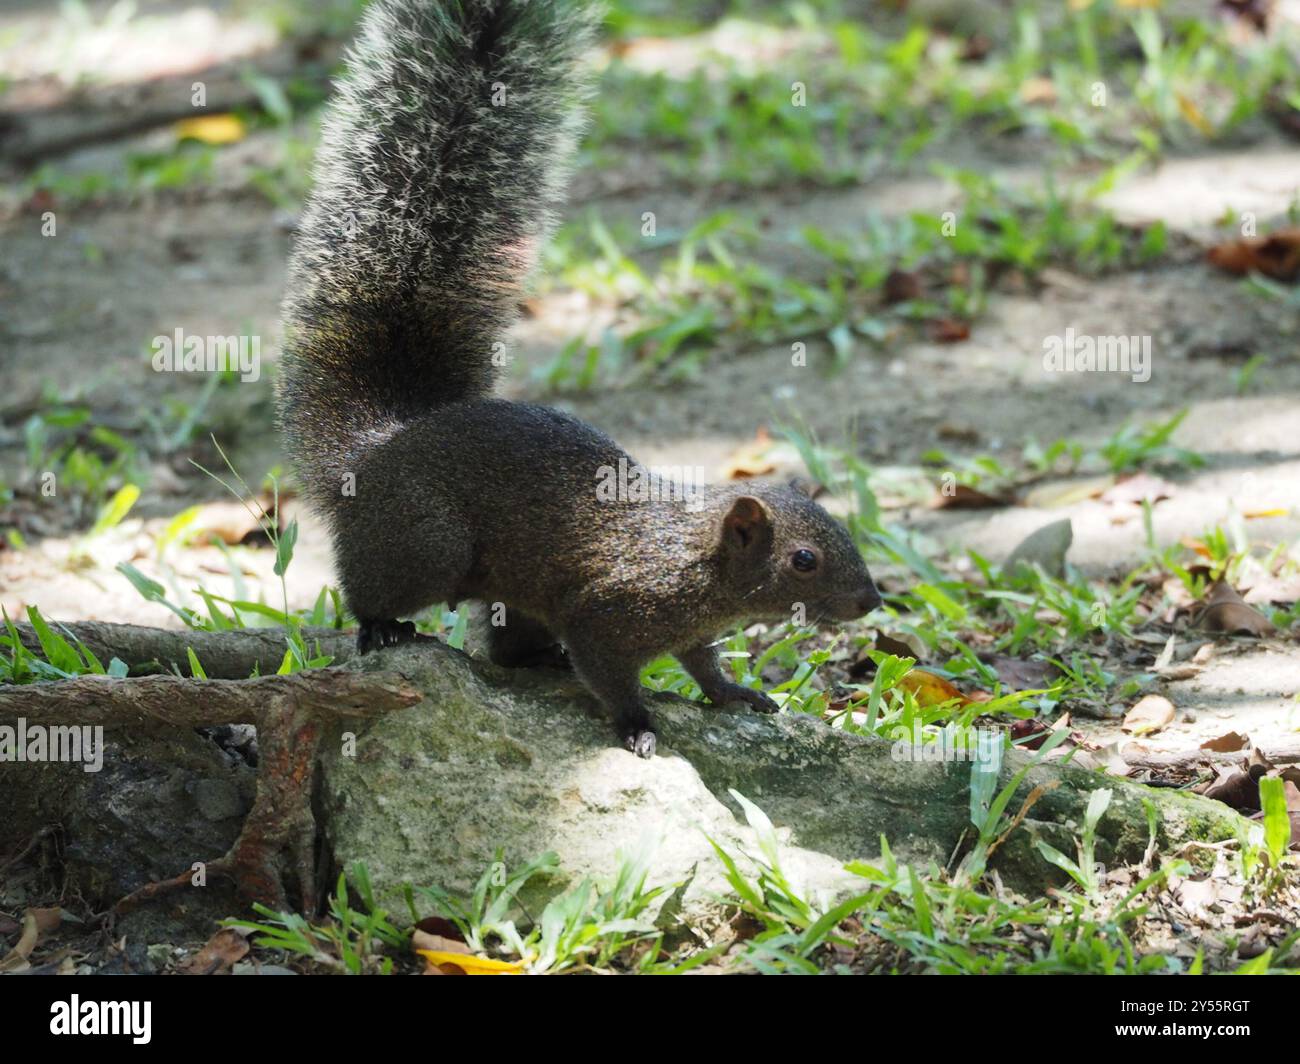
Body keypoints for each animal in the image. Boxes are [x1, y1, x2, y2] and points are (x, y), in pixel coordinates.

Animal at [277, 0, 882, 758]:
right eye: (803, 559)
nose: (872, 602)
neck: (695, 563)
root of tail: (376, 447)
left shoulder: (688, 632)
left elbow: (702, 665)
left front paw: (734, 694)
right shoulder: (608, 612)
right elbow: (610, 672)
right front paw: (637, 725)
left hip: (511, 592)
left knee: (508, 643)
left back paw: (538, 659)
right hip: (426, 543)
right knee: (369, 592)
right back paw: (383, 628)